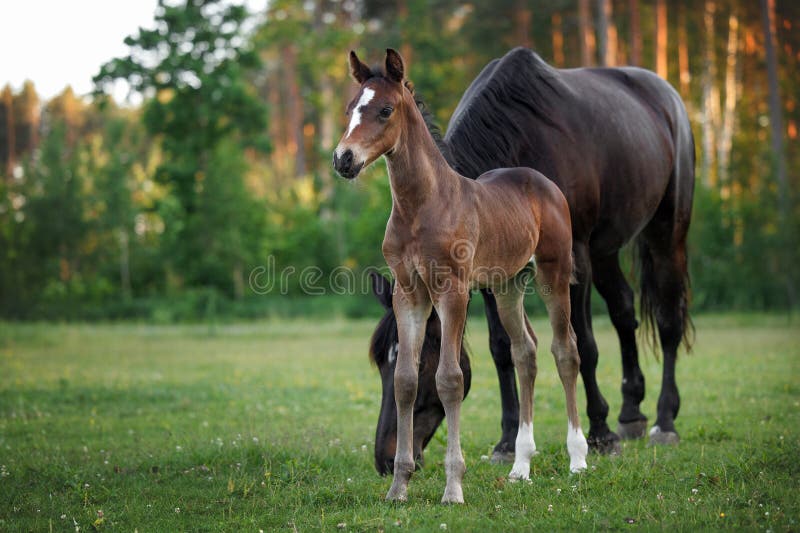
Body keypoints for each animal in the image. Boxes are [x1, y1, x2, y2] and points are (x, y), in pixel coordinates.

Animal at [334, 49, 589, 503]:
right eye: (350, 109)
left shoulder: (452, 291)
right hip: (507, 286)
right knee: (526, 352)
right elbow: (406, 381)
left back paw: (578, 457)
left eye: (385, 110)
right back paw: (521, 466)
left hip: (553, 273)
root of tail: (541, 182)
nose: (343, 159)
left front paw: (453, 487)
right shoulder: (409, 293)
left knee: (565, 350)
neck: (422, 206)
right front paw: (399, 486)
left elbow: (449, 379)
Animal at [366, 47, 695, 471]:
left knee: (669, 320)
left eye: (421, 361)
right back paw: (631, 413)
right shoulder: (489, 272)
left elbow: (584, 344)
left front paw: (600, 434)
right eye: (381, 364)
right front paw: (508, 441)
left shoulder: (574, 259)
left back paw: (664, 421)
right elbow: (502, 349)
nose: (387, 457)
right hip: (606, 251)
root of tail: (668, 97)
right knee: (624, 312)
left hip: (666, 232)